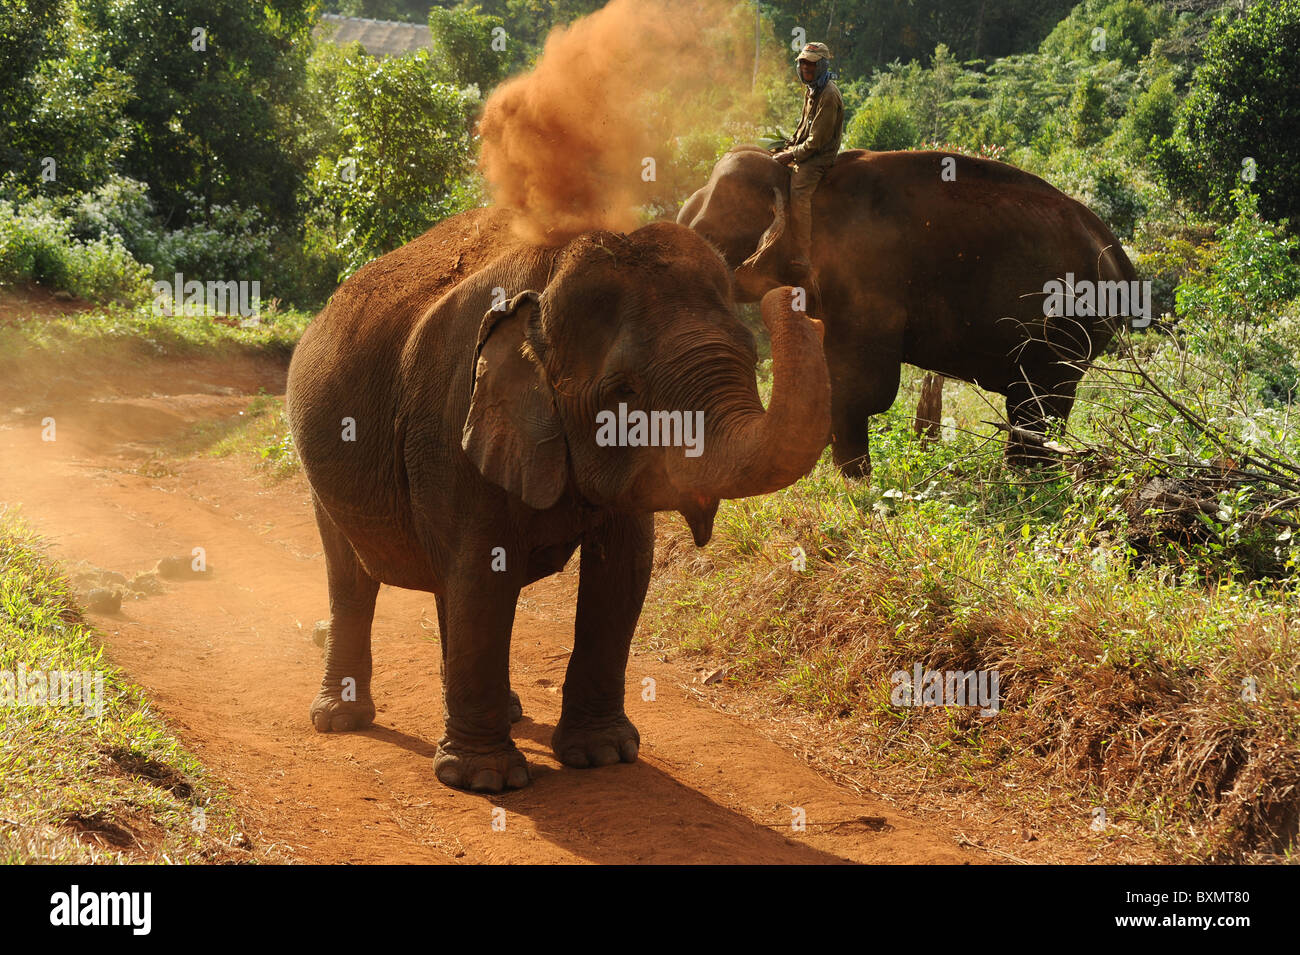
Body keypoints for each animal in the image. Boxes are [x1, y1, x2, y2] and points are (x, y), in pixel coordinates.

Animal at [285, 207, 831, 793]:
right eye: (623, 393)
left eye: (752, 358)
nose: (793, 293)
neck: (541, 292)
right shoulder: (455, 423)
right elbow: (484, 569)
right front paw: (486, 780)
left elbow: (624, 571)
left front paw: (603, 755)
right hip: (320, 466)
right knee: (352, 576)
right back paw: (340, 719)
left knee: (443, 580)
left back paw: (506, 712)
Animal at [677, 146, 1141, 476]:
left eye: (709, 235)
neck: (798, 180)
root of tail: (1122, 259)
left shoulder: (868, 277)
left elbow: (863, 386)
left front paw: (852, 481)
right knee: (1029, 404)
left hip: (1069, 327)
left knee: (1040, 402)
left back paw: (1026, 479)